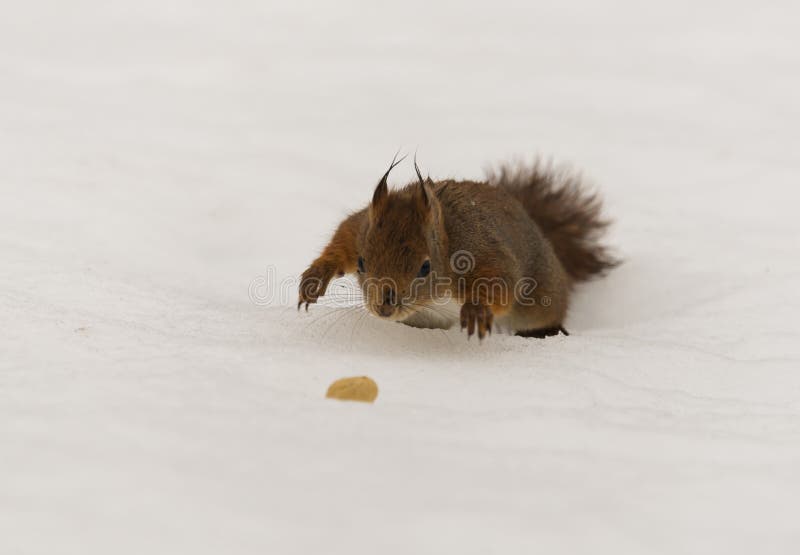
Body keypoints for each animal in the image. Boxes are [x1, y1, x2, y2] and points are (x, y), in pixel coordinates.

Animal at [298, 154, 617, 340]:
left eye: (426, 267)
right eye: (362, 263)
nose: (384, 308)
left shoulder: (480, 250)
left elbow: (501, 283)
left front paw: (476, 309)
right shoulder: (361, 226)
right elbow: (343, 236)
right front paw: (316, 277)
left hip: (541, 298)